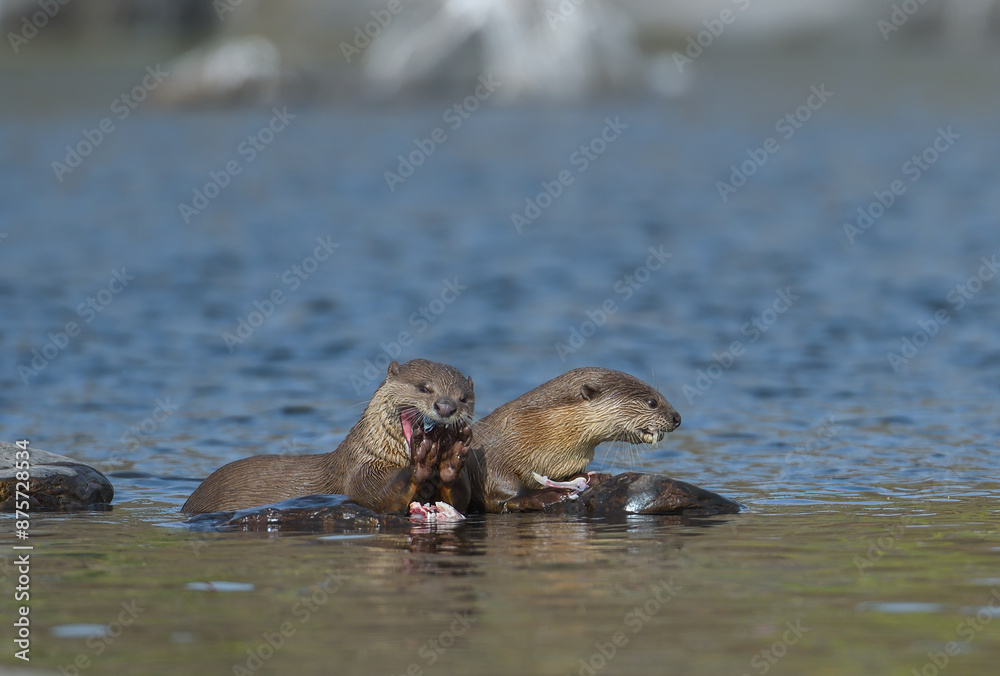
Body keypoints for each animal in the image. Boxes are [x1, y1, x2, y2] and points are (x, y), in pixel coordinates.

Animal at [182, 359, 474, 515]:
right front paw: (420, 462)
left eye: (463, 397)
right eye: (424, 388)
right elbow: (379, 496)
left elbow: (460, 501)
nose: (446, 406)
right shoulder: (360, 470)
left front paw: (451, 461)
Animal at [467, 367, 681, 513]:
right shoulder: (490, 455)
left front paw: (595, 477)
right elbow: (501, 485)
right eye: (652, 402)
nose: (677, 418)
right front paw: (543, 495)